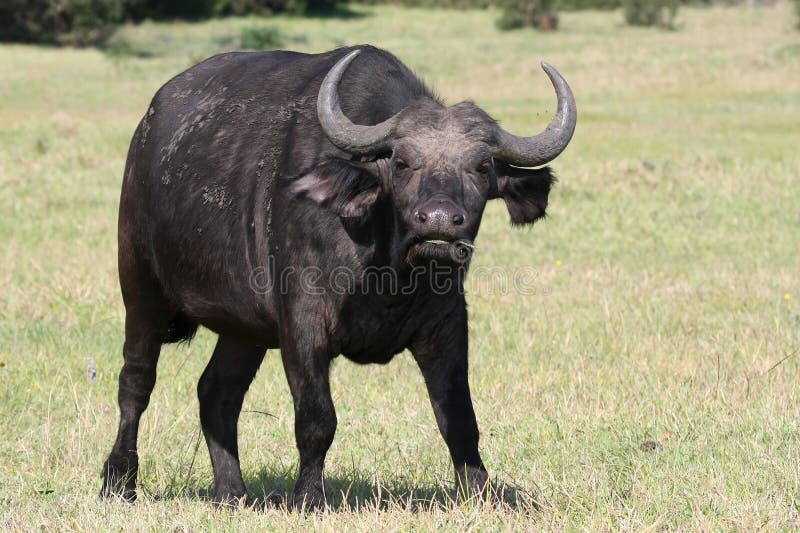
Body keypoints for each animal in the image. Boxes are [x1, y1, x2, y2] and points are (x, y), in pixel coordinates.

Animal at [101, 45, 576, 509]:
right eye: (402, 163)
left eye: (481, 167)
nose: (440, 221)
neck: (388, 275)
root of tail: (145, 134)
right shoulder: (302, 322)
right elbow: (317, 419)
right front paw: (309, 497)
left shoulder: (447, 324)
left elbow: (460, 419)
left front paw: (481, 493)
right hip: (141, 289)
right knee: (135, 382)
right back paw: (118, 480)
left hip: (244, 328)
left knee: (217, 392)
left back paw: (231, 493)